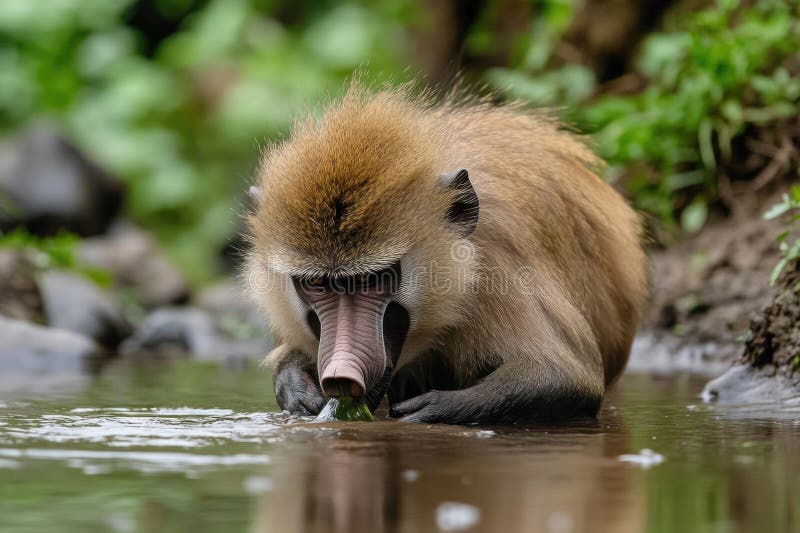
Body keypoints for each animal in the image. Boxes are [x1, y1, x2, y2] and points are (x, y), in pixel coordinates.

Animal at [245, 84, 647, 424]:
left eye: (373, 279)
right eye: (317, 283)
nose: (341, 371)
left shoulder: (495, 266)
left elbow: (565, 378)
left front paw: (435, 408)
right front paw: (296, 382)